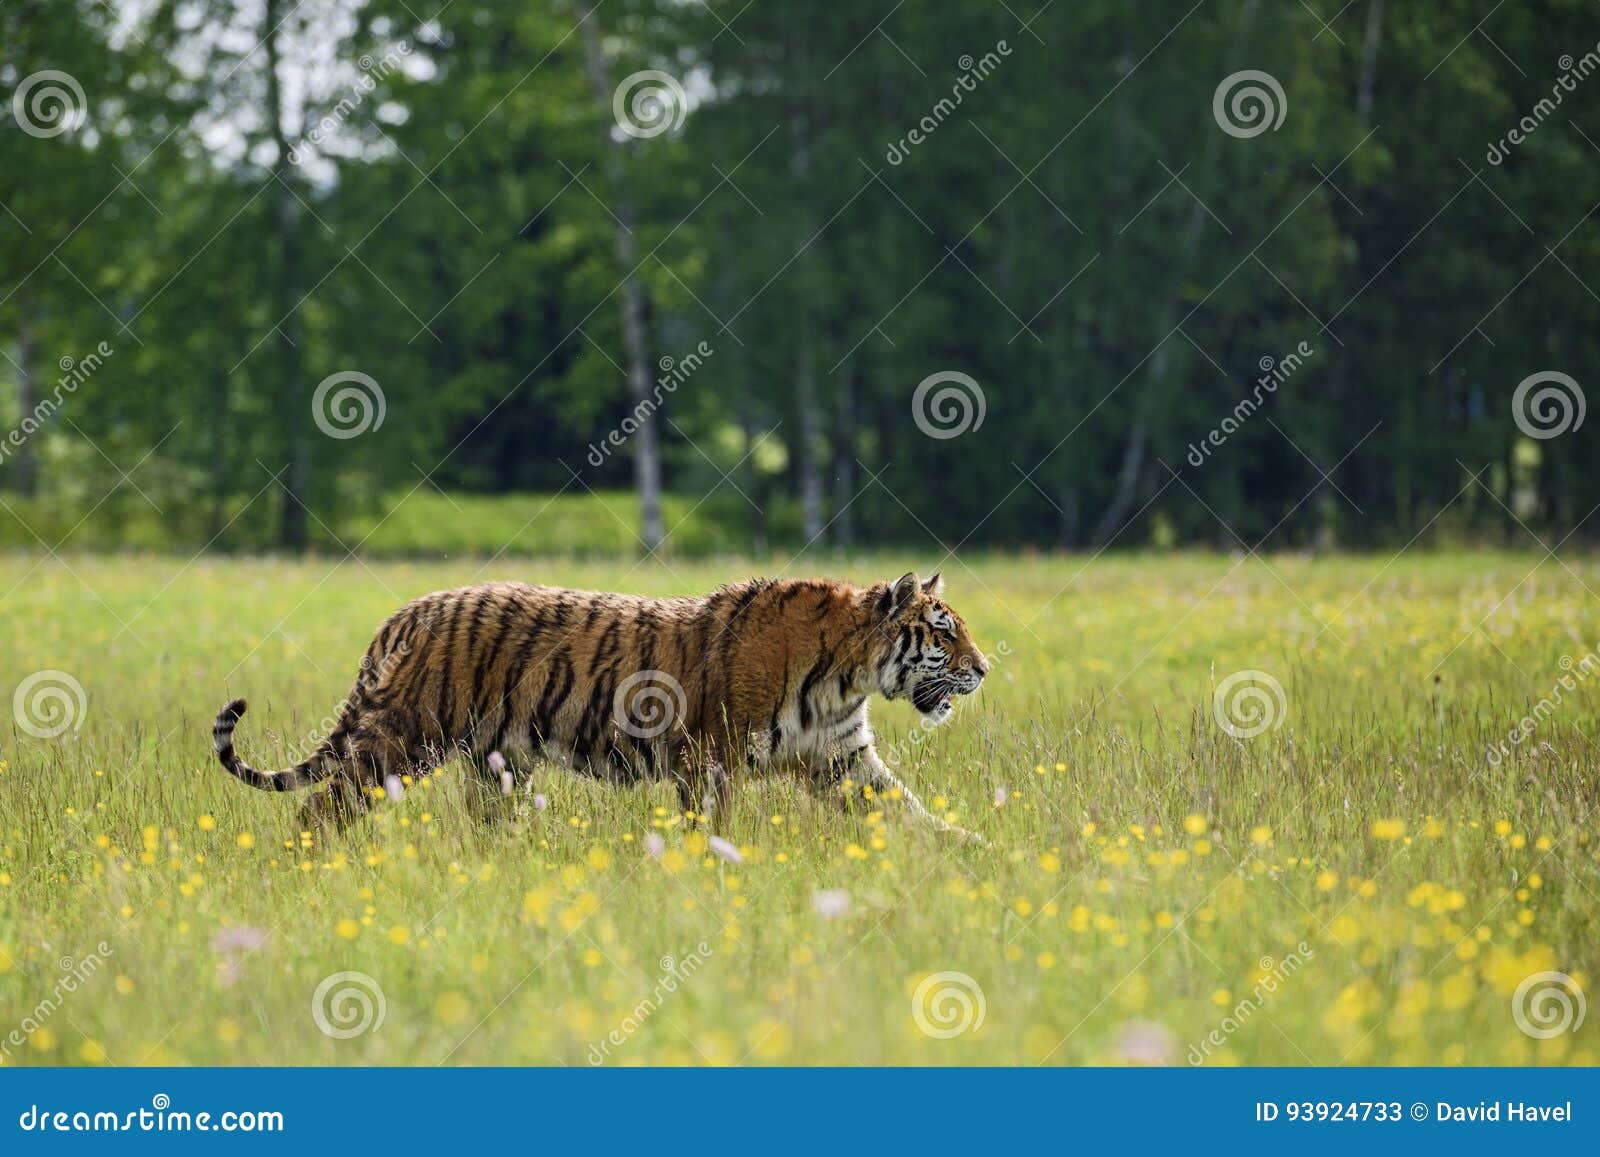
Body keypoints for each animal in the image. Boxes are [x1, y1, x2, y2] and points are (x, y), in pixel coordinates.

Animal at [212, 570, 988, 836]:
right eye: (945, 631)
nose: (983, 670)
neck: (848, 672)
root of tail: (409, 610)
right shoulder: (707, 759)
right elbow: (711, 827)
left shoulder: (843, 760)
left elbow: (912, 812)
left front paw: (979, 853)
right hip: (400, 739)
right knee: (320, 809)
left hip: (496, 764)